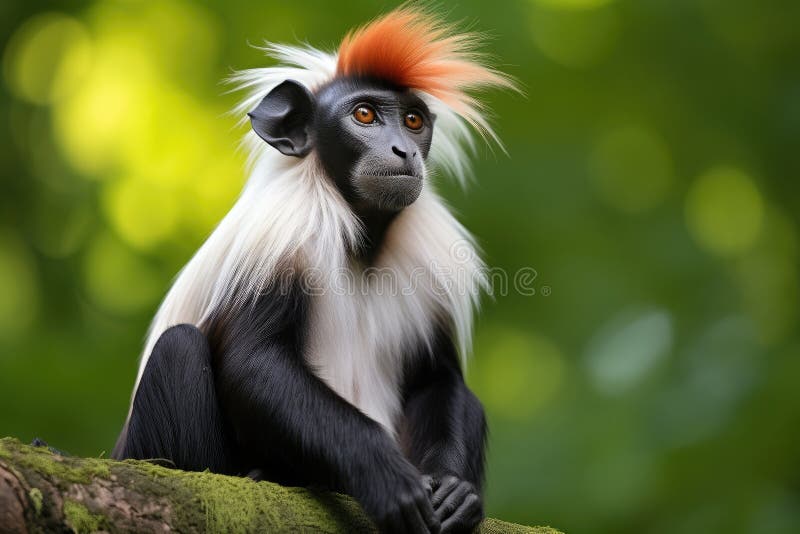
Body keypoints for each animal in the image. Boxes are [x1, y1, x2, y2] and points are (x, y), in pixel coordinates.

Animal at [112, 7, 514, 534]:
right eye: (364, 115)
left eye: (412, 121)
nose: (403, 151)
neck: (363, 242)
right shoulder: (285, 233)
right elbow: (254, 361)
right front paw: (385, 476)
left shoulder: (431, 269)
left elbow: (438, 379)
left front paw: (454, 490)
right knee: (178, 348)